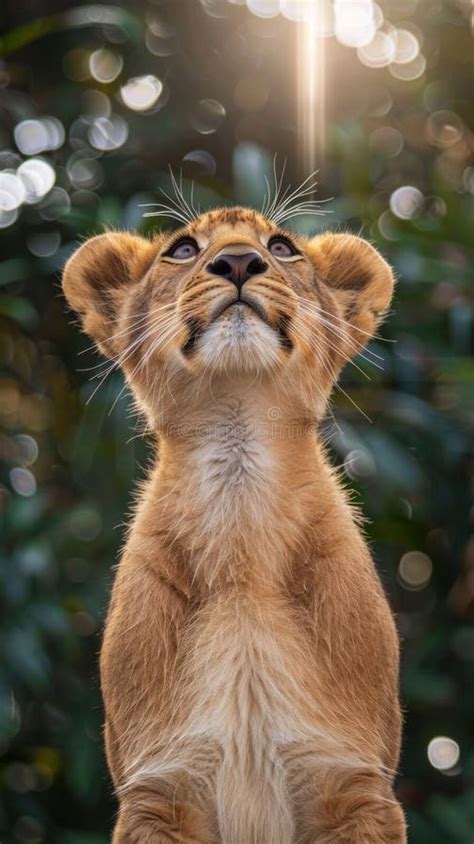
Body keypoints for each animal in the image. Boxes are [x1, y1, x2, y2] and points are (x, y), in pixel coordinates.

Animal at [62, 203, 406, 843]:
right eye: (182, 249)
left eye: (282, 246)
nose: (240, 261)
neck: (238, 502)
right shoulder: (157, 793)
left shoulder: (355, 786)